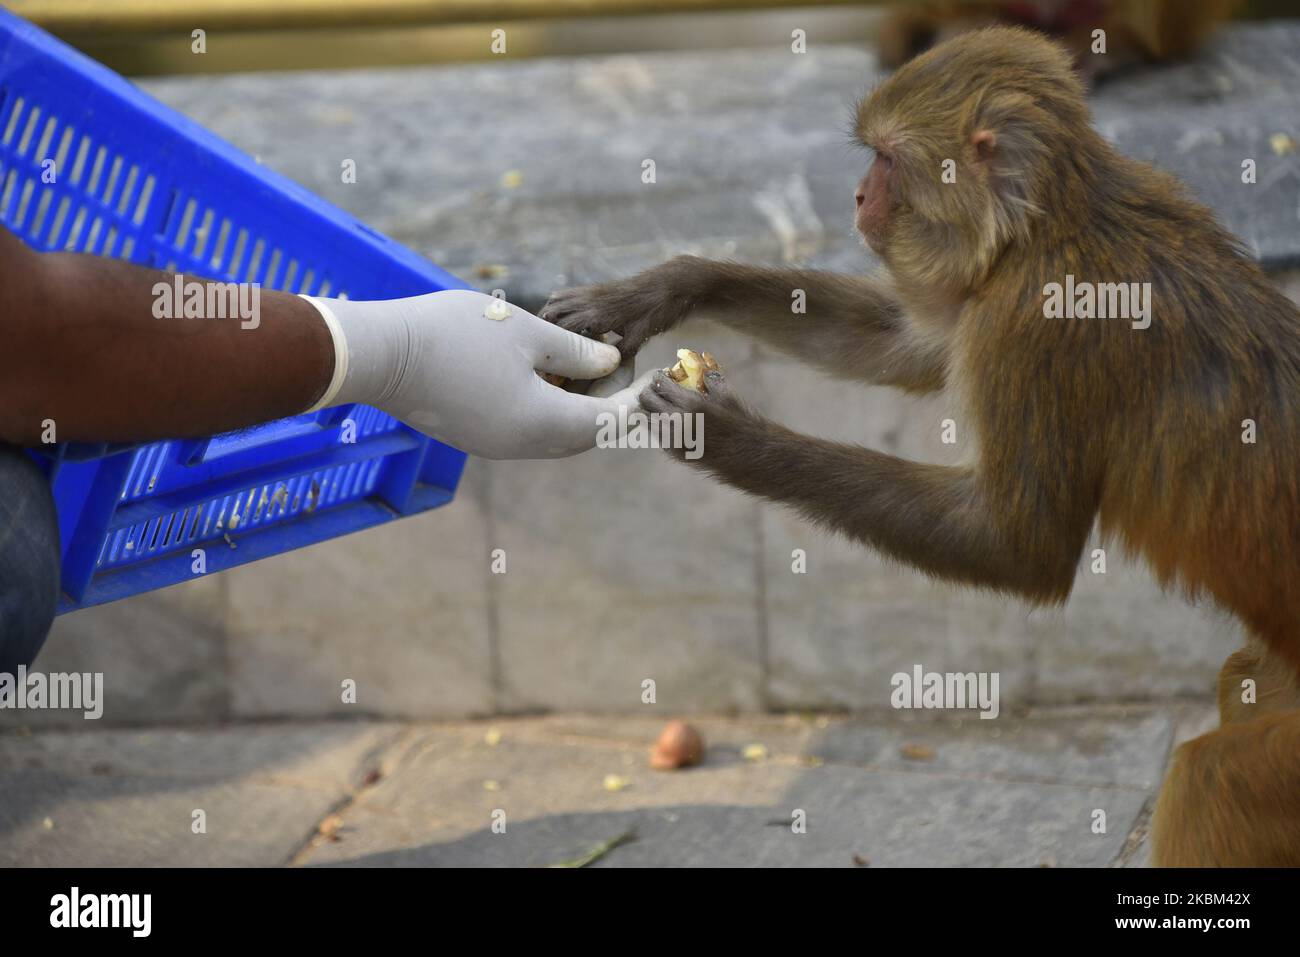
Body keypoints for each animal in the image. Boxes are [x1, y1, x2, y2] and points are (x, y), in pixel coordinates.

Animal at [542, 25, 1300, 867]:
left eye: (886, 159)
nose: (857, 198)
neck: (1047, 223)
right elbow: (900, 344)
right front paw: (662, 288)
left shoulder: (1033, 324)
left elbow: (1020, 546)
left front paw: (729, 437)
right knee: (1240, 683)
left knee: (1212, 778)